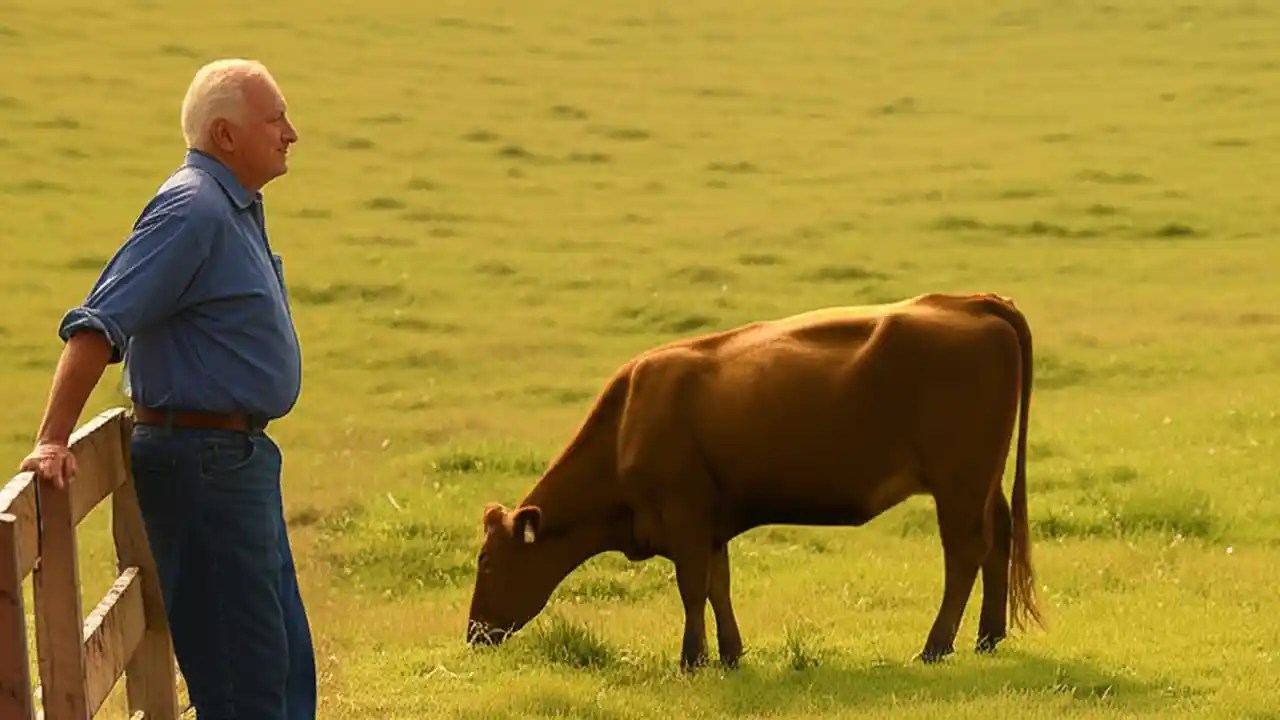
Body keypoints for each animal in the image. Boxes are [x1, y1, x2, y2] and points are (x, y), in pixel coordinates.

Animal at [466, 292, 1044, 670]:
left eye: (488, 561)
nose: (472, 632)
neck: (628, 421)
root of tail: (972, 302)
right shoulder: (711, 524)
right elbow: (717, 587)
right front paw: (730, 654)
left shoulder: (685, 517)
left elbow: (692, 588)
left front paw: (692, 659)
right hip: (982, 482)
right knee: (999, 539)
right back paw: (987, 638)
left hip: (959, 483)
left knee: (965, 553)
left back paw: (936, 646)